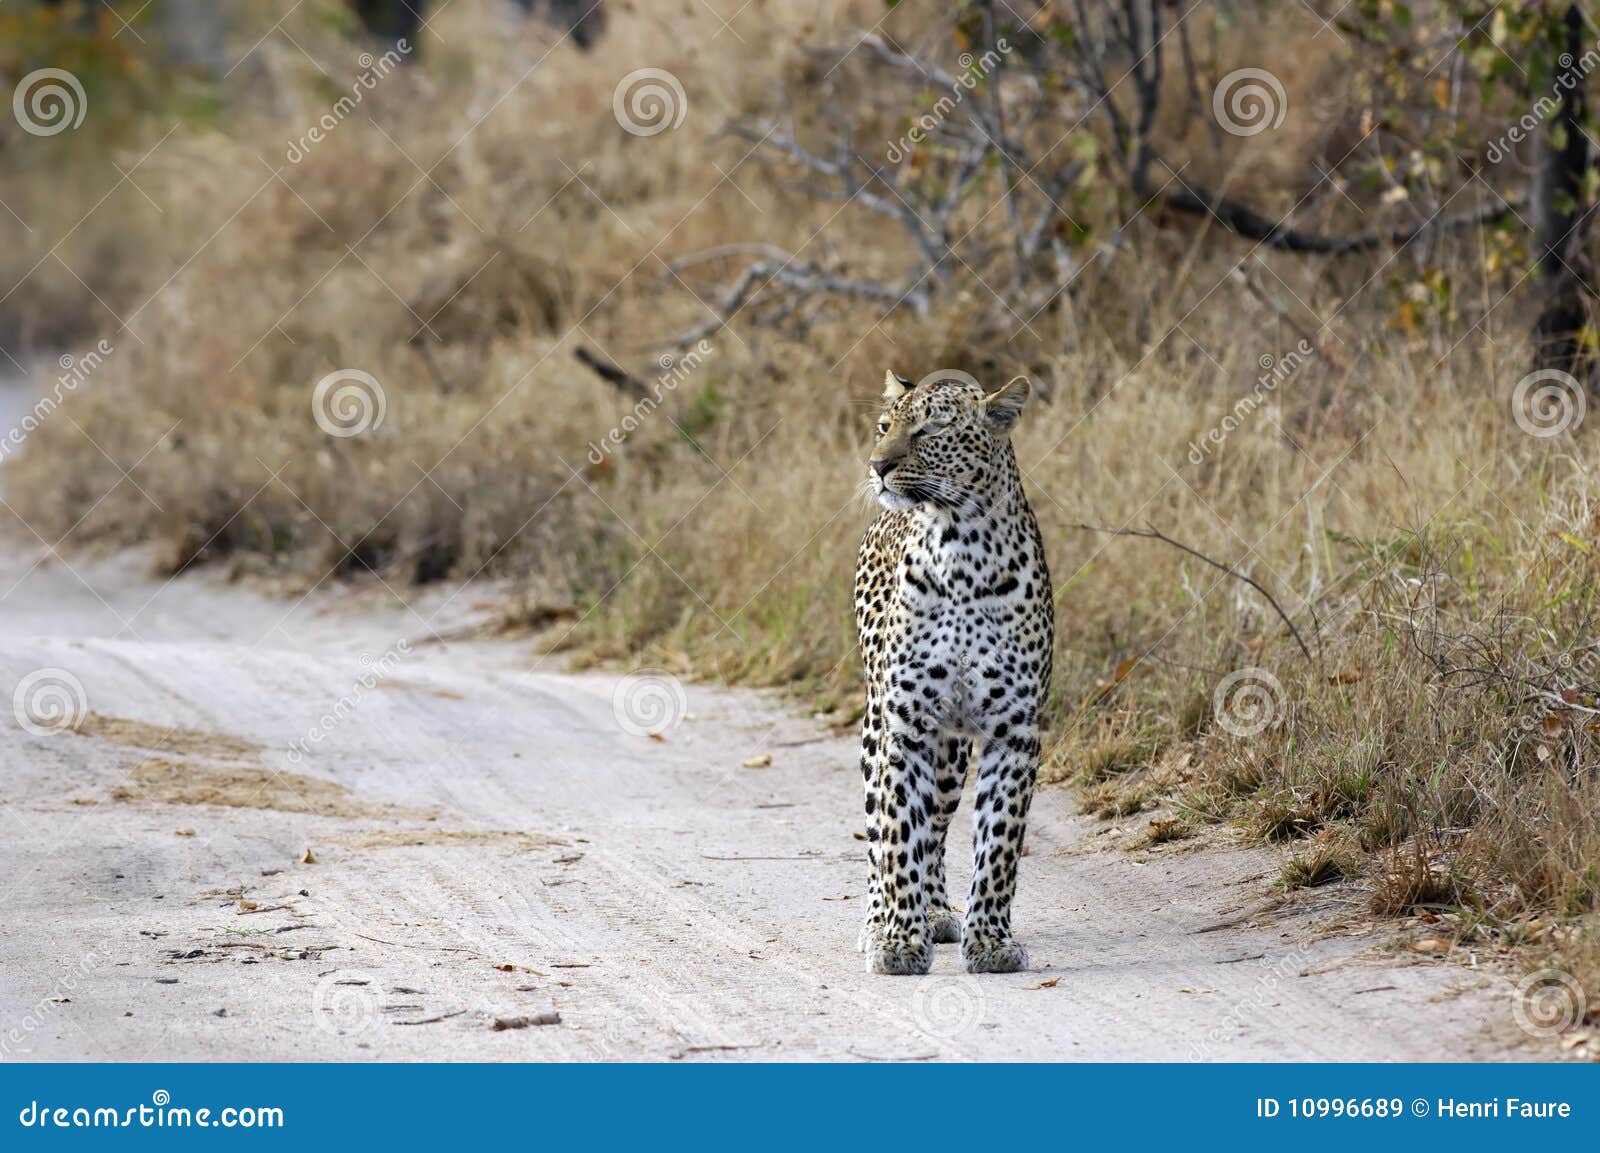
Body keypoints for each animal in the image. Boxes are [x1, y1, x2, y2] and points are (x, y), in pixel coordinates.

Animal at [853, 369, 1054, 976]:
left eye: (931, 430)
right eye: (885, 426)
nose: (878, 465)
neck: (962, 549)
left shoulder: (1014, 732)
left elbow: (999, 845)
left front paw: (990, 941)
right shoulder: (906, 726)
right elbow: (897, 836)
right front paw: (897, 941)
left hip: (951, 754)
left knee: (937, 829)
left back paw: (938, 911)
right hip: (878, 724)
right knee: (879, 831)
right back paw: (880, 920)